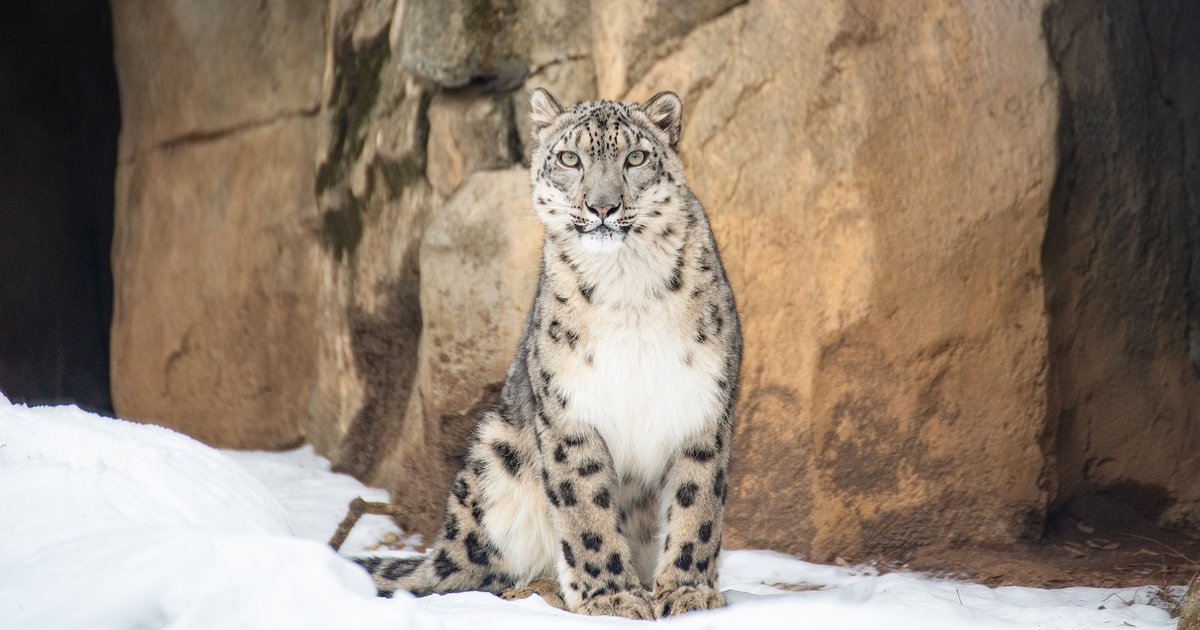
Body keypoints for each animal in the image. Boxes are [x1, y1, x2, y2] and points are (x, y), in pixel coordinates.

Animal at [354, 88, 742, 620]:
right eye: (570, 159)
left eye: (635, 158)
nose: (602, 206)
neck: (628, 288)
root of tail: (443, 549)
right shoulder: (569, 408)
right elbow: (586, 510)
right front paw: (613, 598)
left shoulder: (700, 402)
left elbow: (697, 504)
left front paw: (687, 593)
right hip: (494, 455)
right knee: (478, 576)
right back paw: (539, 591)